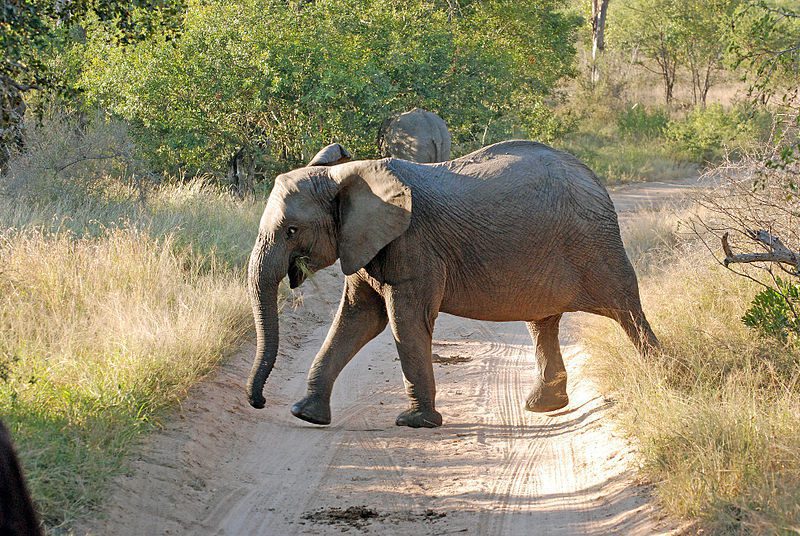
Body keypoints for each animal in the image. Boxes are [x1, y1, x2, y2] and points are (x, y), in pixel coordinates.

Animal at [246, 140, 658, 428]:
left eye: (291, 230)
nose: (258, 402)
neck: (346, 174)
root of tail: (593, 177)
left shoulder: (414, 245)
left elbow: (404, 321)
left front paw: (415, 423)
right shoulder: (364, 245)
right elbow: (357, 320)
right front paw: (306, 415)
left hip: (595, 243)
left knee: (626, 309)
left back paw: (661, 375)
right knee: (543, 321)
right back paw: (543, 406)